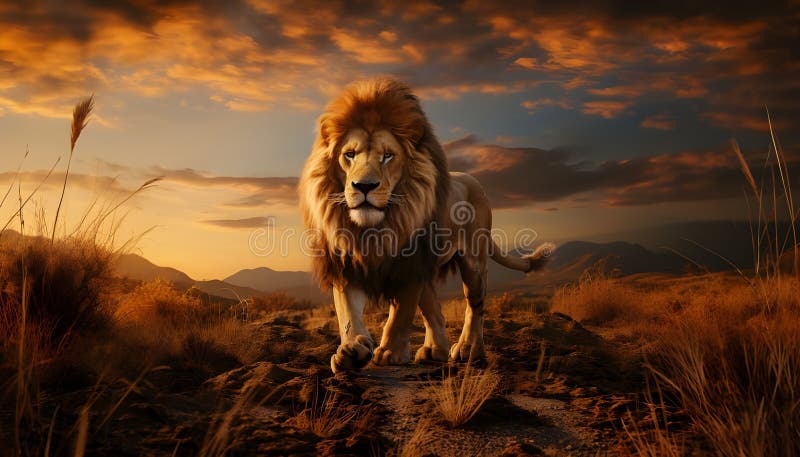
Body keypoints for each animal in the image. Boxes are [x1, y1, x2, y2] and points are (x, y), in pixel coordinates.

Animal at [298, 78, 553, 373]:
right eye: (349, 154)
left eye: (388, 156)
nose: (364, 186)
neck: (376, 228)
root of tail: (472, 180)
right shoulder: (346, 263)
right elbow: (348, 312)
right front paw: (352, 351)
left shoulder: (410, 265)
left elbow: (401, 314)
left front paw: (389, 352)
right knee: (434, 309)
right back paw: (435, 352)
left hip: (473, 262)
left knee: (475, 304)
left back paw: (469, 350)